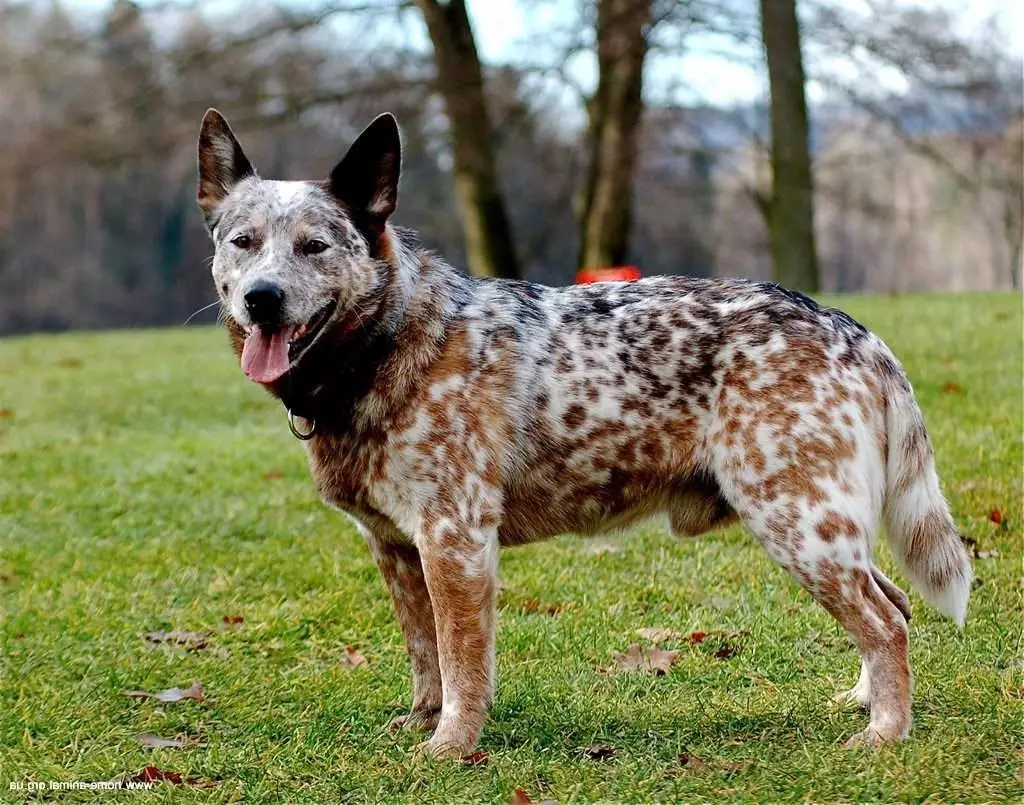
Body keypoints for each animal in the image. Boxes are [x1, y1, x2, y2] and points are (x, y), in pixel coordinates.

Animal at [195, 109, 970, 757]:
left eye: (315, 245)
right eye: (244, 242)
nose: (262, 298)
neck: (393, 341)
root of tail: (853, 328)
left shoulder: (455, 540)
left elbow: (460, 661)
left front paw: (451, 745)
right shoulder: (395, 547)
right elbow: (425, 657)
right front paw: (422, 720)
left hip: (798, 520)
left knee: (887, 620)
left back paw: (886, 732)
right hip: (822, 523)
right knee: (893, 604)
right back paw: (867, 701)